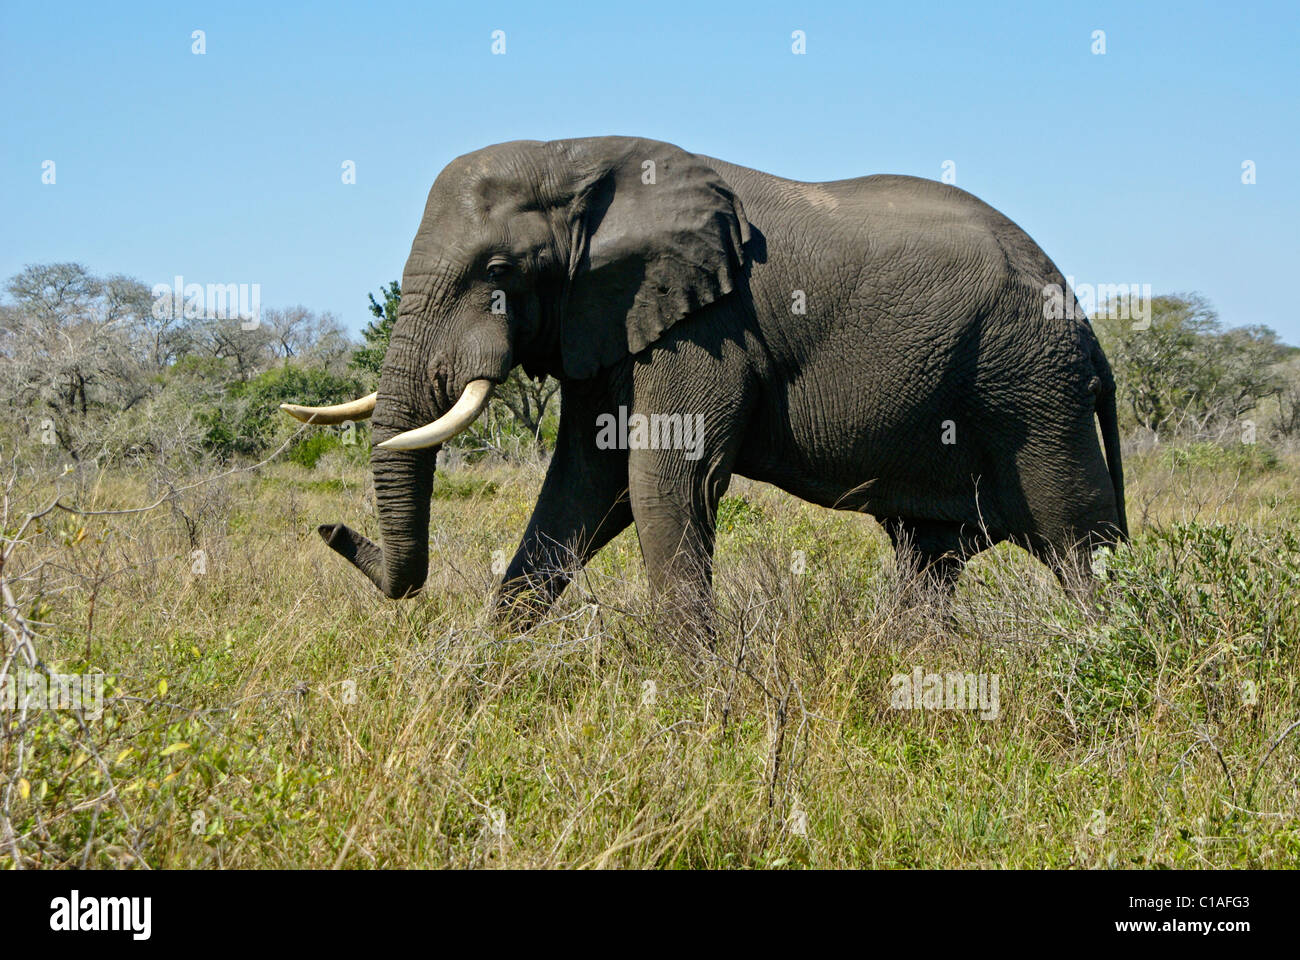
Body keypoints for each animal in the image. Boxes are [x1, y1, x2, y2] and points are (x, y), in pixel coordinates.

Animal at [282, 136, 1126, 625]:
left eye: (496, 272)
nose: (327, 528)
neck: (577, 156)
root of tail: (1088, 328)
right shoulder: (613, 320)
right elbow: (584, 488)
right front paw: (482, 680)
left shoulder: (705, 327)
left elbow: (663, 482)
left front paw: (697, 706)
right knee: (930, 557)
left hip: (1031, 389)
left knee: (1082, 540)